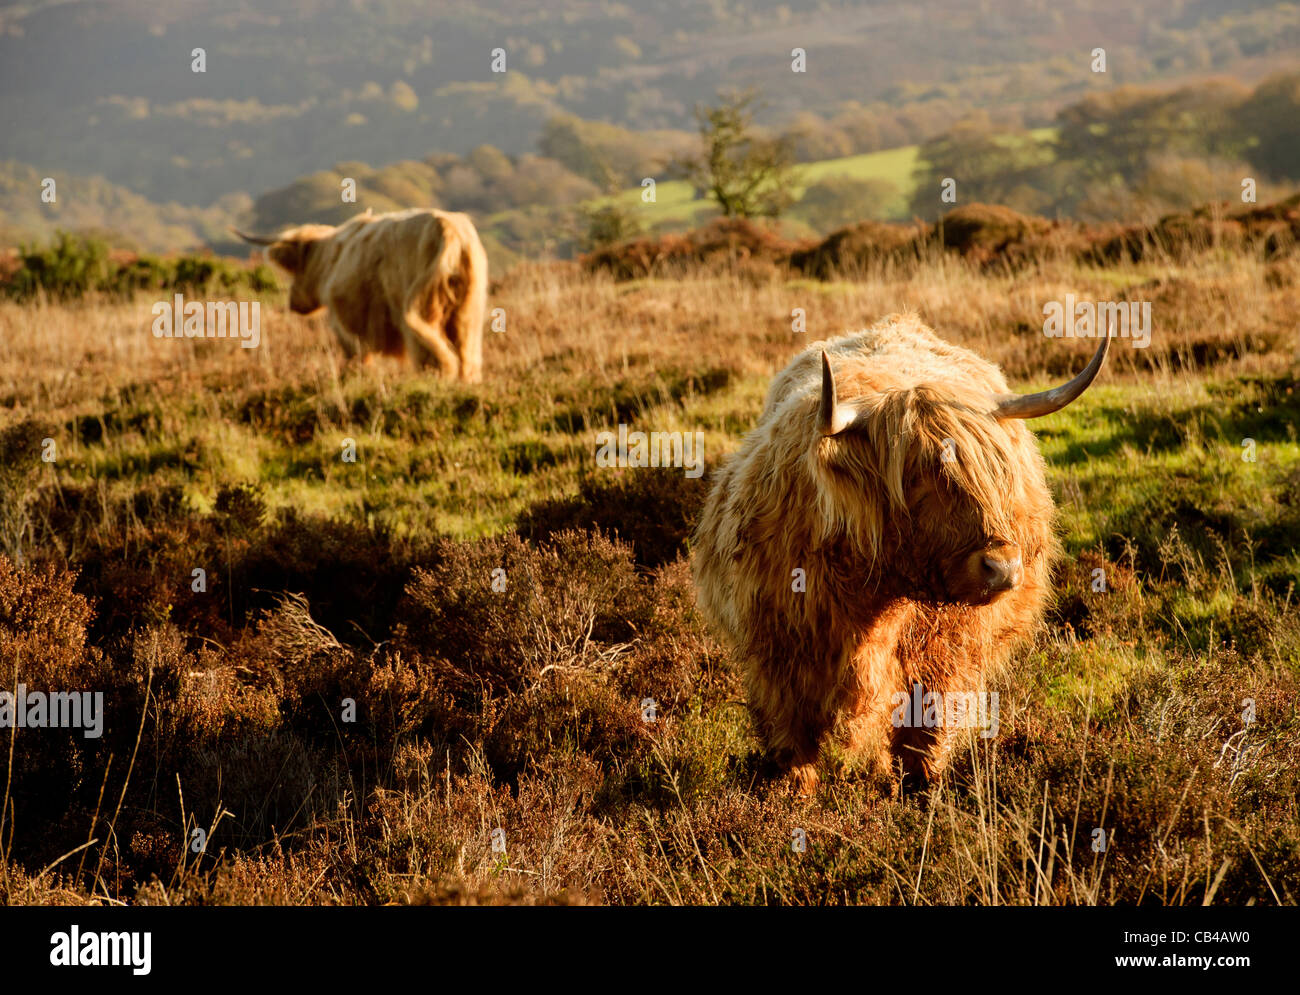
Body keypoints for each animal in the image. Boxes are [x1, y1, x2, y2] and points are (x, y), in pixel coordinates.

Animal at [235, 208, 488, 382]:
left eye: (295, 270)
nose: (292, 303)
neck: (330, 259)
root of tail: (451, 233)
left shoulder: (347, 318)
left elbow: (356, 354)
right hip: (468, 312)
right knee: (466, 354)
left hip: (420, 308)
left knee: (431, 352)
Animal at [692, 313, 1110, 795]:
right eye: (915, 477)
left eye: (997, 473)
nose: (1002, 568)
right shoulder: (778, 646)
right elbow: (792, 735)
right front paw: (794, 795)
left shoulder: (947, 648)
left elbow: (925, 722)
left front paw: (921, 790)